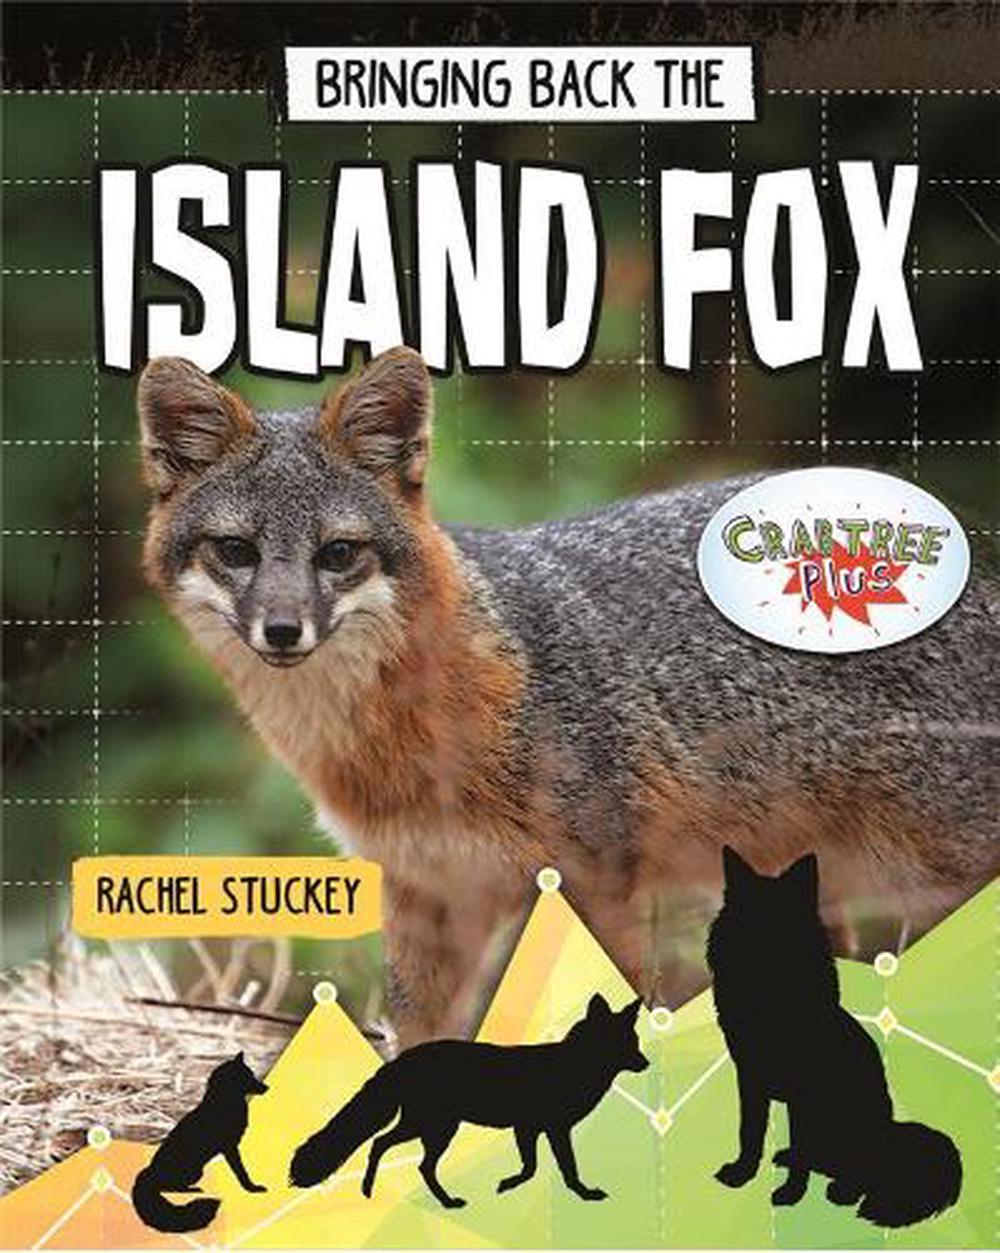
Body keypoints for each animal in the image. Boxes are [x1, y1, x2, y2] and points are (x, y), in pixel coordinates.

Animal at [131, 1052, 268, 1233]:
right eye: (247, 1077)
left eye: (252, 1074)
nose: (267, 1087)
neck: (225, 1104)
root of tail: (147, 1172)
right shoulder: (230, 1147)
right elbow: (241, 1171)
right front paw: (251, 1188)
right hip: (194, 1173)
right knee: (169, 1188)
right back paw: (194, 1189)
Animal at [137, 347, 999, 1042]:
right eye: (237, 551)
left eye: (338, 553)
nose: (283, 630)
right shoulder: (429, 890)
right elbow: (418, 1034)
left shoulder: (593, 881)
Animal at [290, 992, 647, 1207]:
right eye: (623, 1043)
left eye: (635, 1041)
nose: (646, 1063)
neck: (574, 1065)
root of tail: (403, 1059)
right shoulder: (551, 1128)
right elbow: (565, 1167)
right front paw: (584, 1193)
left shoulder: (528, 1128)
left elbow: (531, 1167)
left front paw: (508, 1184)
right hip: (433, 1127)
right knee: (393, 1150)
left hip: (430, 1128)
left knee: (397, 1152)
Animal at [708, 847, 962, 1227]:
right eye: (748, 918)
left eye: (782, 922)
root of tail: (892, 1134)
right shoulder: (750, 1079)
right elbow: (750, 1134)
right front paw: (741, 1174)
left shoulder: (802, 1093)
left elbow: (797, 1148)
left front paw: (790, 1195)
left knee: (858, 1170)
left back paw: (843, 1191)